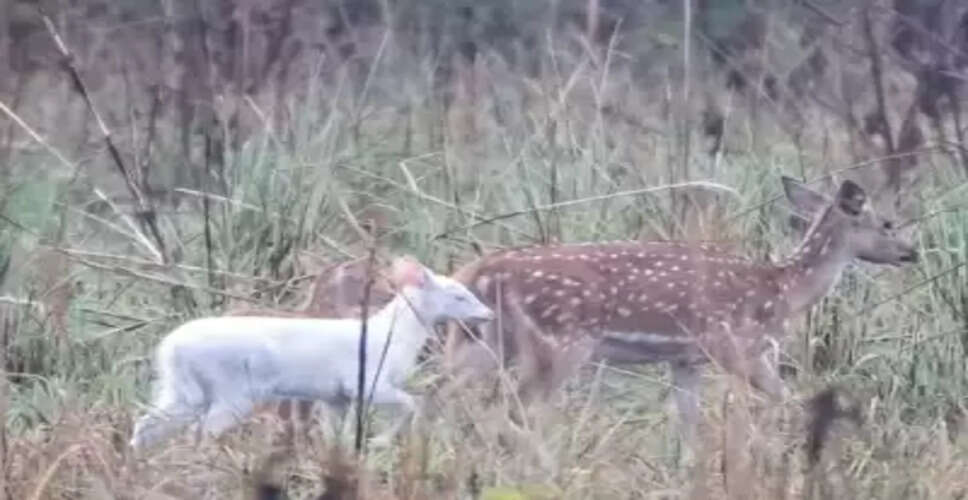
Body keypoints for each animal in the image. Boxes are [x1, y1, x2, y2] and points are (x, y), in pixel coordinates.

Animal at [129, 256, 494, 451]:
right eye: (459, 295)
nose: (488, 314)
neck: (393, 337)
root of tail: (169, 347)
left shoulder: (335, 397)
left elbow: (336, 433)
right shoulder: (366, 382)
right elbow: (411, 404)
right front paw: (378, 442)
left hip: (181, 389)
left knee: (147, 422)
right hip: (233, 390)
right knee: (203, 430)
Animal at [441, 176, 918, 447]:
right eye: (887, 223)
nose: (911, 252)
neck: (782, 290)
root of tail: (478, 272)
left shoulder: (686, 359)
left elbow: (688, 422)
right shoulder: (733, 343)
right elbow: (786, 397)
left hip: (480, 342)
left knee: (445, 395)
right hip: (558, 342)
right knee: (511, 409)